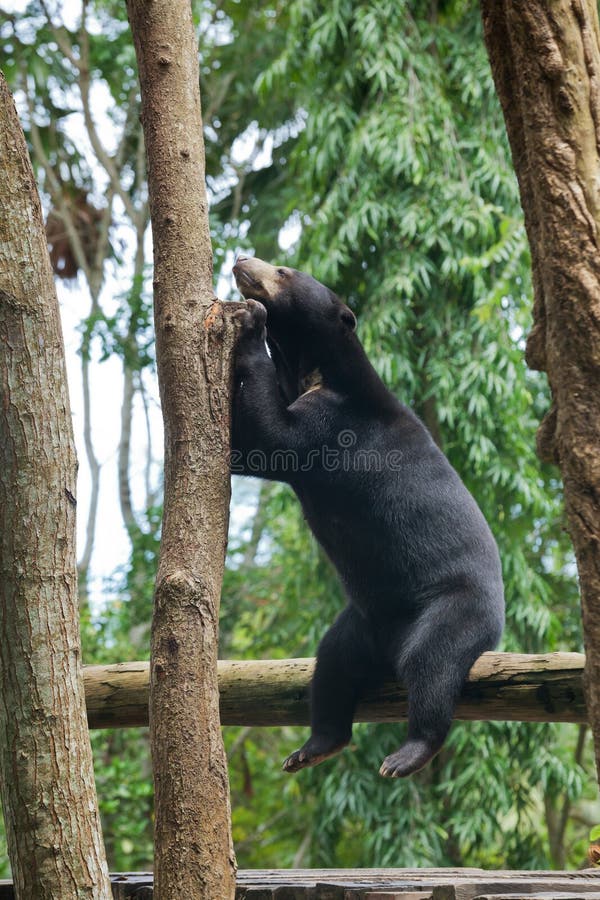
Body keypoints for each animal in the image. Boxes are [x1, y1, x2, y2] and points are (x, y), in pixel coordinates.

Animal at [231, 255, 505, 778]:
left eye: (284, 270)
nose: (240, 260)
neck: (315, 369)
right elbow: (244, 445)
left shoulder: (332, 424)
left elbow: (267, 437)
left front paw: (251, 321)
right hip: (358, 625)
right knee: (331, 670)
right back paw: (313, 748)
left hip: (453, 609)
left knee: (432, 666)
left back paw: (406, 755)